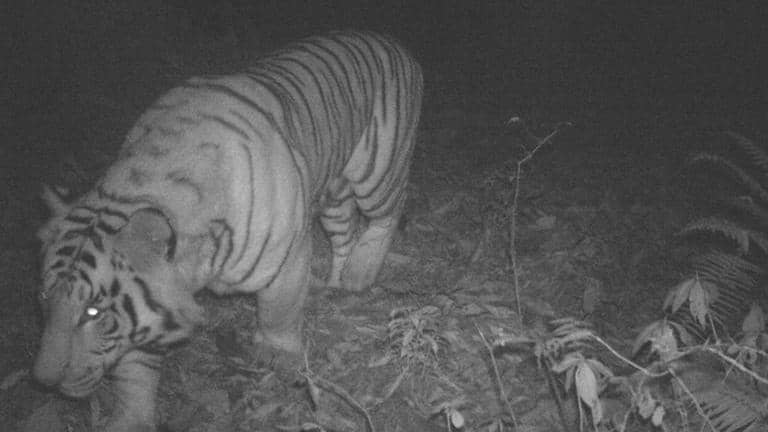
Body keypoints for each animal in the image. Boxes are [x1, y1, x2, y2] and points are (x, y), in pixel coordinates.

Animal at [33, 30, 422, 432]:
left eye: (93, 312)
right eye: (44, 298)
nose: (43, 381)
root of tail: (387, 40)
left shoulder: (285, 258)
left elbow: (279, 311)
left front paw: (279, 357)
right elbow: (134, 372)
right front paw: (131, 418)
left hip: (377, 171)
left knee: (389, 211)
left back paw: (362, 272)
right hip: (333, 194)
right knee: (345, 232)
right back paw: (334, 284)